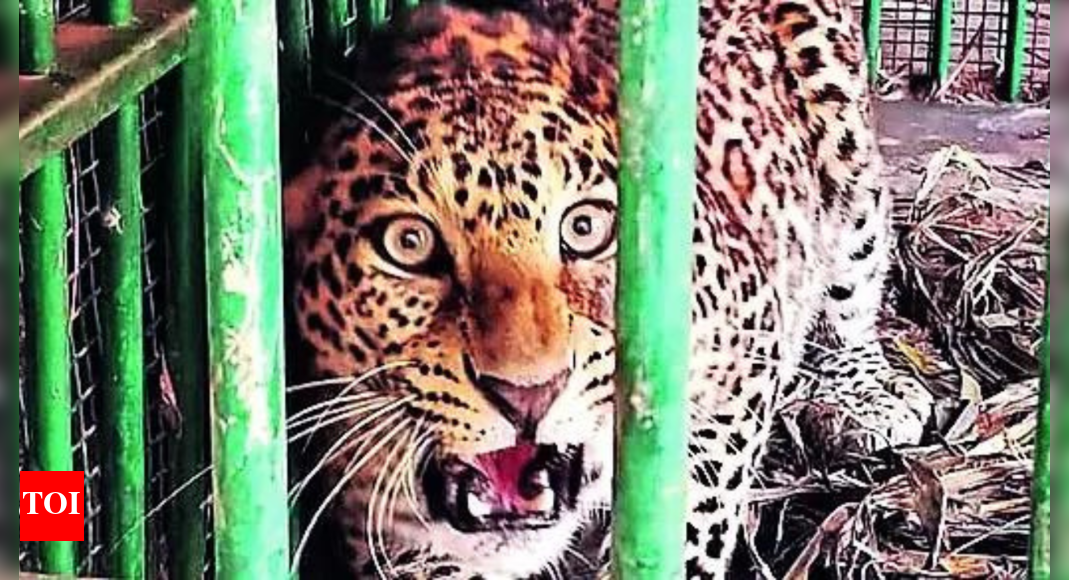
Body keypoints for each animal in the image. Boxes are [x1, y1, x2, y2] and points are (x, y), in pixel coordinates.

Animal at [282, 0, 933, 578]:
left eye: (586, 228)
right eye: (409, 243)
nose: (528, 395)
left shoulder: (746, 346)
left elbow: (692, 498)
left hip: (849, 157)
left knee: (852, 294)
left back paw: (872, 396)